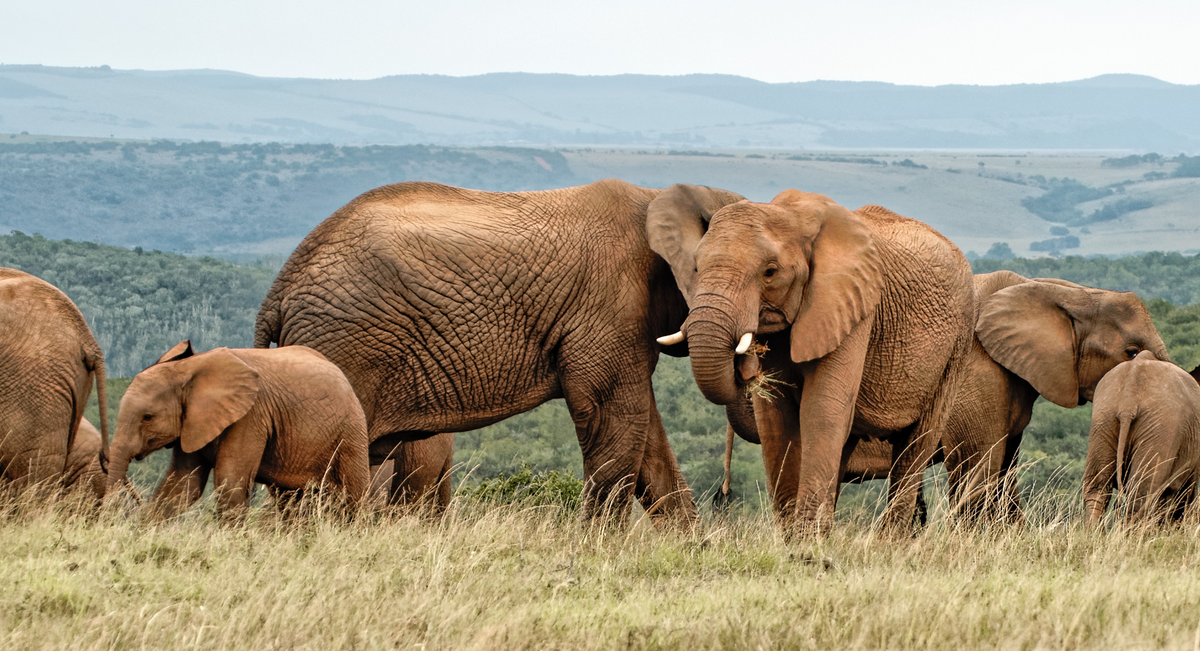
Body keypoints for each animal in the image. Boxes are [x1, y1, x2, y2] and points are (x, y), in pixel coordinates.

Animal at [106, 340, 370, 520]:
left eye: (147, 418)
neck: (188, 368)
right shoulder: (193, 422)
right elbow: (182, 485)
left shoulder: (251, 416)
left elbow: (229, 483)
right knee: (291, 500)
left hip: (351, 431)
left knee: (353, 496)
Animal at [255, 179, 744, 522]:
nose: (725, 496)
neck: (659, 197)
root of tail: (278, 290)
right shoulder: (608, 306)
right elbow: (617, 419)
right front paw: (596, 551)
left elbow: (646, 441)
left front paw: (691, 551)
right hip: (346, 347)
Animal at [649, 188, 975, 534]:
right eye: (696, 267)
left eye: (770, 272)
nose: (744, 366)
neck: (791, 215)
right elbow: (775, 419)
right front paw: (794, 537)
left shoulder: (853, 306)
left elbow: (822, 409)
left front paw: (807, 540)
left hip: (956, 348)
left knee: (915, 445)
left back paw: (889, 539)